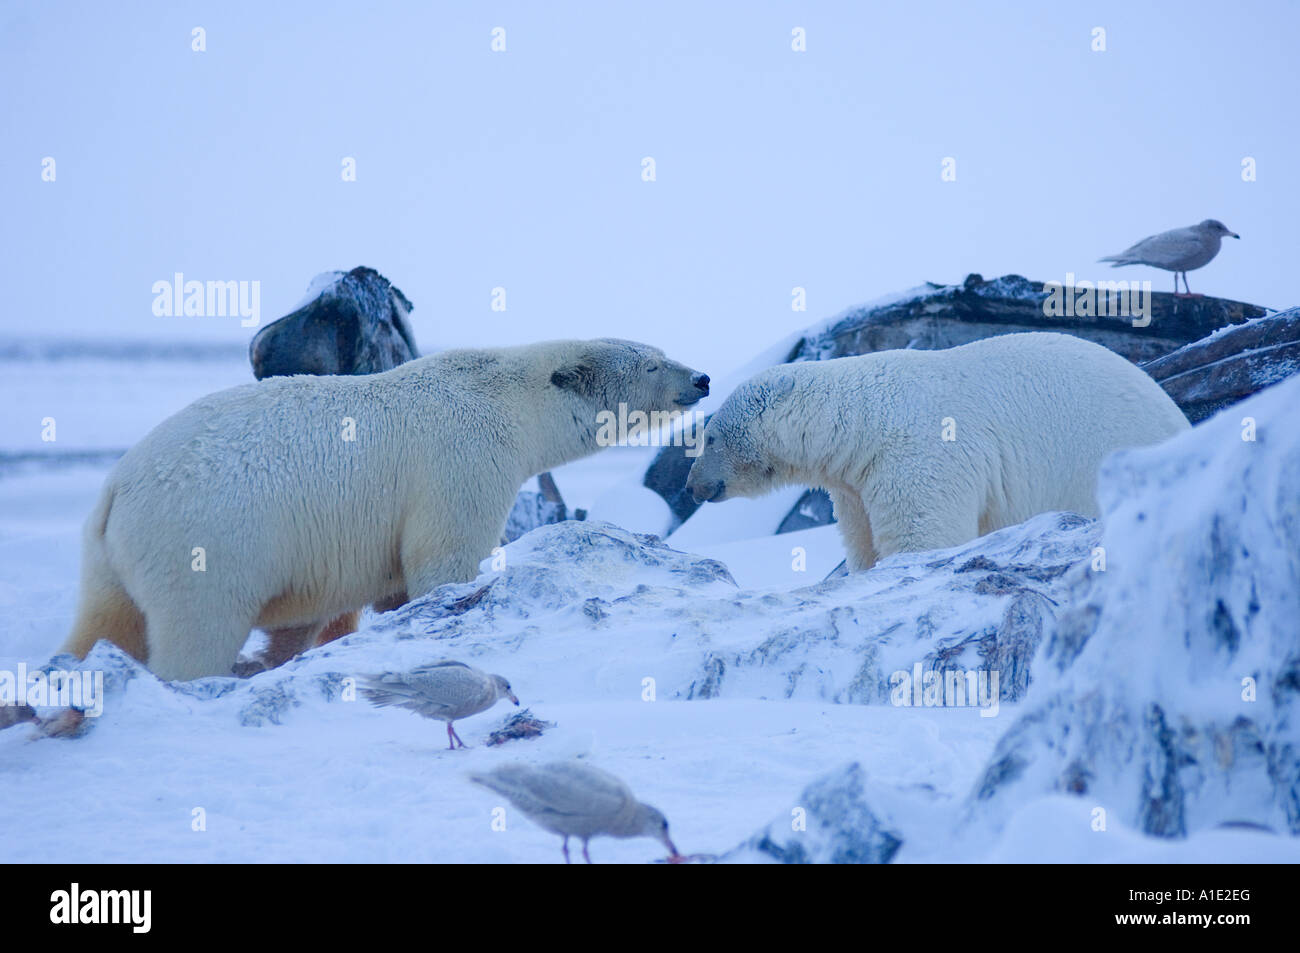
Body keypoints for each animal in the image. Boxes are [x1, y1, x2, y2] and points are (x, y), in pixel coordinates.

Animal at [61, 338, 710, 681]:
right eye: (652, 363)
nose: (702, 378)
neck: (504, 395)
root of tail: (117, 487)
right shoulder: (461, 459)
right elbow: (442, 556)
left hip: (112, 556)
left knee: (106, 622)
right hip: (206, 539)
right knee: (196, 627)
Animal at [684, 331, 1189, 571]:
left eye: (710, 437)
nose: (692, 485)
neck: (861, 420)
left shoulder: (921, 455)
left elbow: (924, 535)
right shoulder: (854, 483)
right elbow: (862, 540)